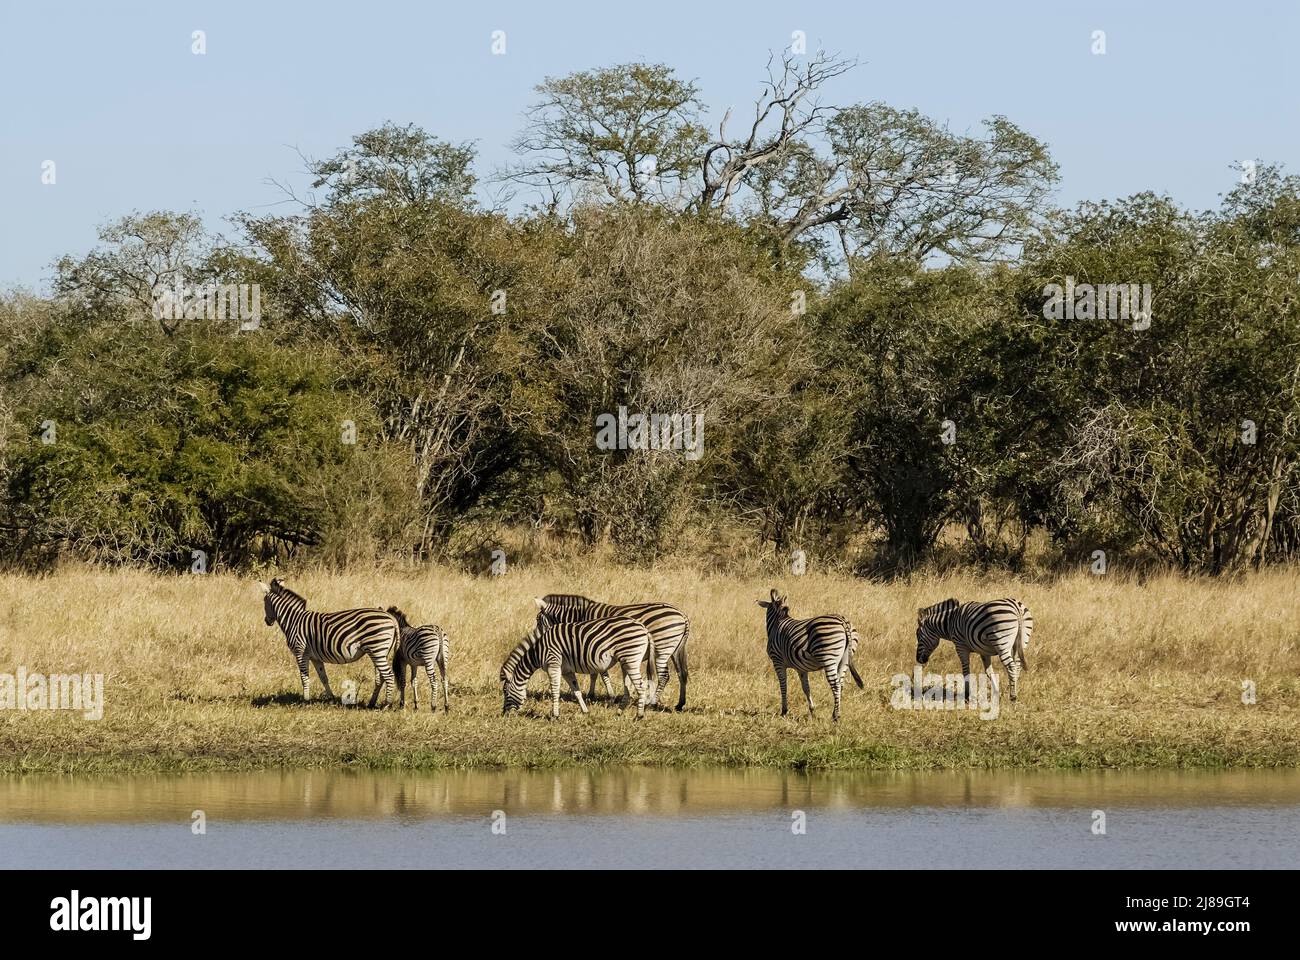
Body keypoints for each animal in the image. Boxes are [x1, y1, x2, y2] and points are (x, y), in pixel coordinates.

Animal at [258, 578, 400, 708]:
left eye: (264, 602)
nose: (267, 621)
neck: (293, 620)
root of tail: (391, 617)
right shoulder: (315, 657)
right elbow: (323, 678)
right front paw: (331, 698)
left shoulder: (300, 652)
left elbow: (304, 678)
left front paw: (305, 701)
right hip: (380, 652)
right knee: (381, 677)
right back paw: (372, 703)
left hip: (377, 649)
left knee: (388, 675)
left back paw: (386, 704)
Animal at [500, 614, 651, 719]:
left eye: (506, 692)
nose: (504, 714)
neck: (538, 651)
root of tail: (643, 628)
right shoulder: (566, 671)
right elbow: (576, 691)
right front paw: (585, 711)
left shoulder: (553, 664)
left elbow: (555, 691)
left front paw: (555, 715)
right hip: (627, 661)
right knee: (628, 687)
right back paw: (619, 712)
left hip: (630, 658)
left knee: (641, 686)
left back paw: (639, 715)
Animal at [533, 594, 690, 711]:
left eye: (538, 621)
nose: (538, 642)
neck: (581, 616)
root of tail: (682, 615)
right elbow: (596, 673)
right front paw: (593, 694)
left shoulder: (593, 646)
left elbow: (600, 673)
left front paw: (609, 695)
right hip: (676, 650)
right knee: (682, 673)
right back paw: (680, 704)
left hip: (662, 649)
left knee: (664, 676)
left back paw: (651, 702)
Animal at [757, 588, 863, 722]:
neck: (778, 621)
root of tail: (843, 621)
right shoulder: (801, 668)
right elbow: (806, 687)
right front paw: (812, 710)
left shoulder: (777, 661)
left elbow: (783, 685)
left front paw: (784, 711)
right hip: (845, 659)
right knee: (841, 683)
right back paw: (835, 713)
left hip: (828, 656)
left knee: (835, 684)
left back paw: (836, 716)